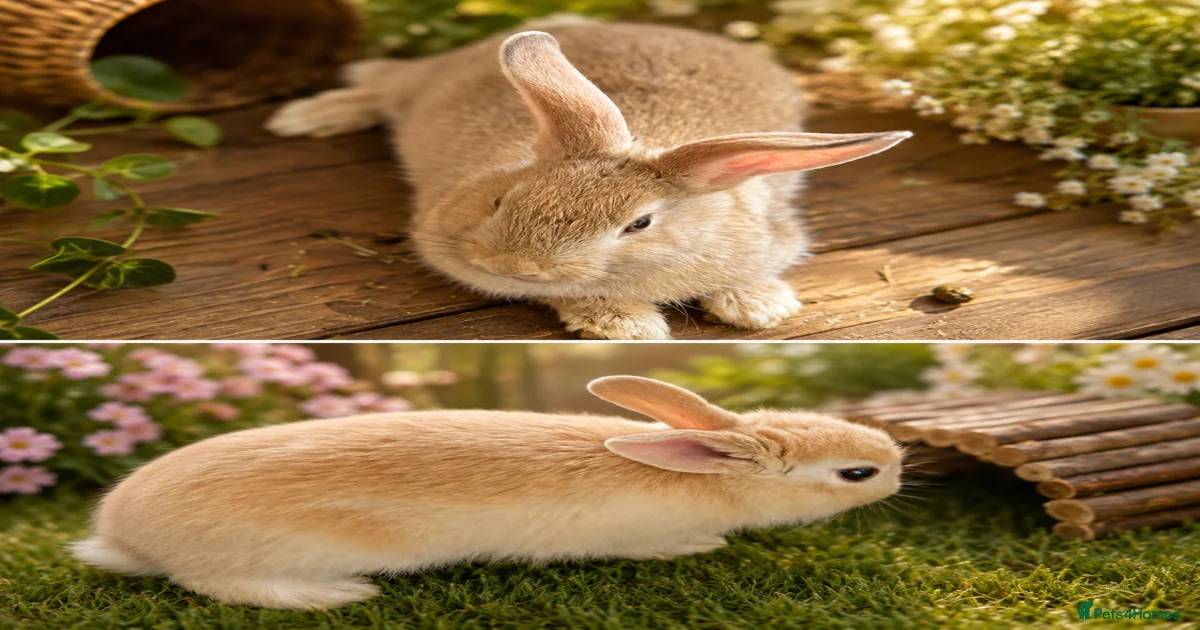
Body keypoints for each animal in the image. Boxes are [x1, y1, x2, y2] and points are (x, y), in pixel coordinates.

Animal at [71, 376, 902, 610]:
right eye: (855, 475)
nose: (896, 468)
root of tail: (122, 533)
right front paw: (700, 544)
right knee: (220, 585)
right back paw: (338, 595)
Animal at [265, 21, 911, 340]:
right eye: (501, 199)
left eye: (639, 224)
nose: (514, 266)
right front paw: (627, 327)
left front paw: (758, 307)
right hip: (416, 87)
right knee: (382, 83)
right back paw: (305, 117)